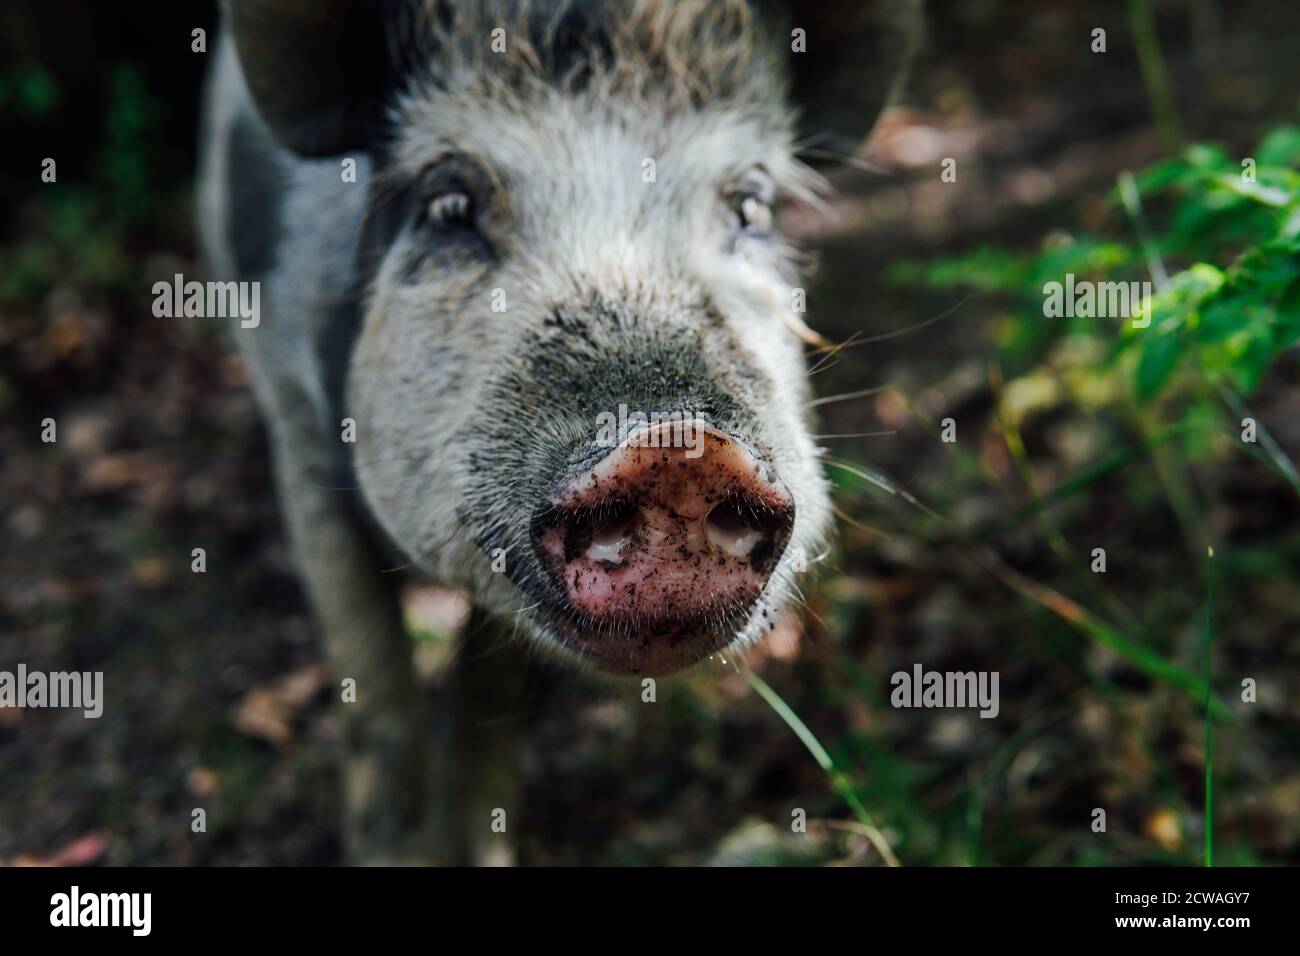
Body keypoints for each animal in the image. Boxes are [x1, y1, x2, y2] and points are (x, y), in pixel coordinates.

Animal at [198, 0, 921, 864]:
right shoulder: (294, 426)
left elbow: (489, 687)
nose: (677, 449)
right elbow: (373, 684)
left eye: (750, 208)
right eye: (449, 206)